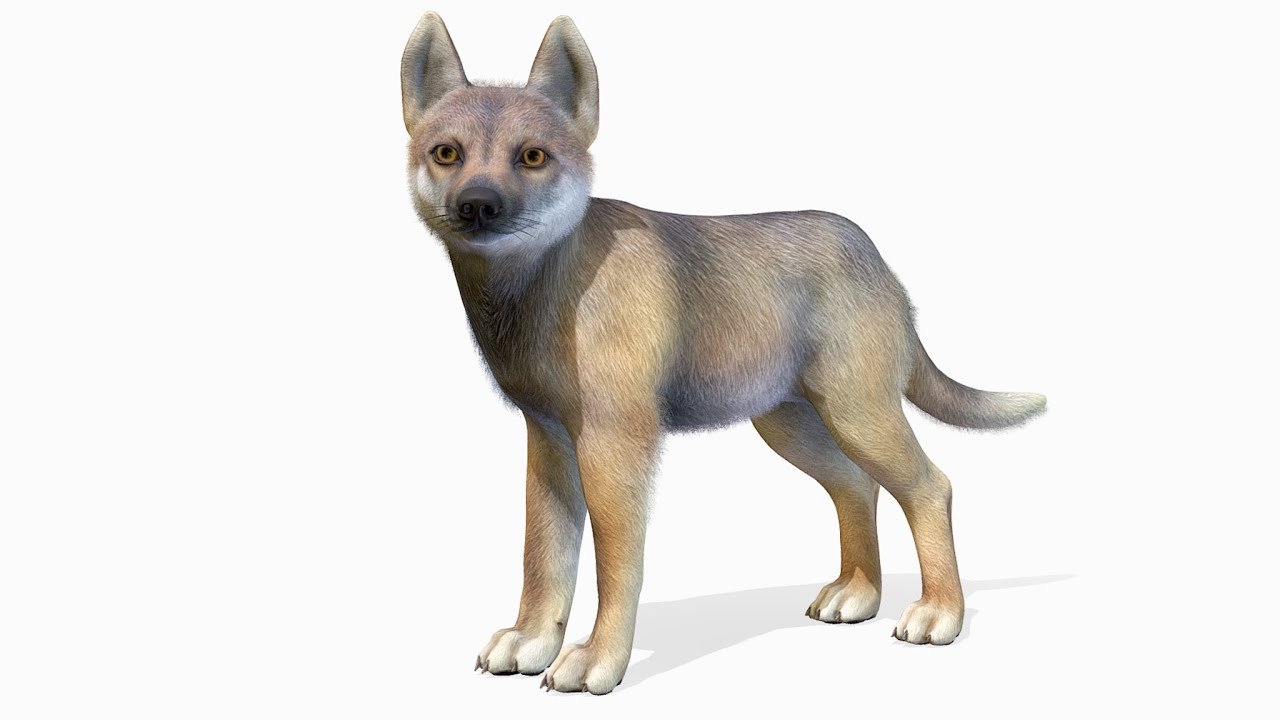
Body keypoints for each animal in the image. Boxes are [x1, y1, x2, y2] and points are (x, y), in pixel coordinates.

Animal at [400, 12, 1046, 694]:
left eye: (532, 157)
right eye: (446, 153)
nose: (477, 205)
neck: (547, 285)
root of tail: (875, 258)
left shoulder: (615, 443)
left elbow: (616, 563)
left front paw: (598, 659)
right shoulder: (548, 438)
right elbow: (544, 555)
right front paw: (530, 641)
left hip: (858, 413)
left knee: (929, 487)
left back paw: (939, 612)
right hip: (790, 422)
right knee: (857, 487)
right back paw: (858, 595)